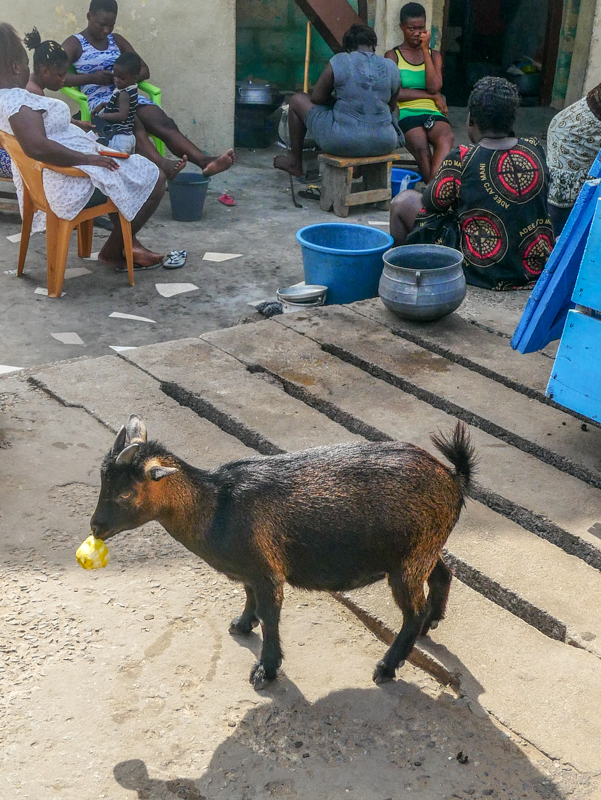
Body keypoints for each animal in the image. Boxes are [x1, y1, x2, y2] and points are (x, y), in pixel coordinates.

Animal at [91, 415, 476, 689]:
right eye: (102, 480)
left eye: (125, 492)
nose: (95, 527)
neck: (216, 507)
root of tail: (453, 477)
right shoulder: (250, 571)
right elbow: (249, 599)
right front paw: (241, 624)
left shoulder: (267, 572)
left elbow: (270, 617)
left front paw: (266, 670)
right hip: (423, 547)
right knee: (443, 573)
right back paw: (432, 622)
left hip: (409, 561)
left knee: (412, 611)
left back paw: (387, 666)